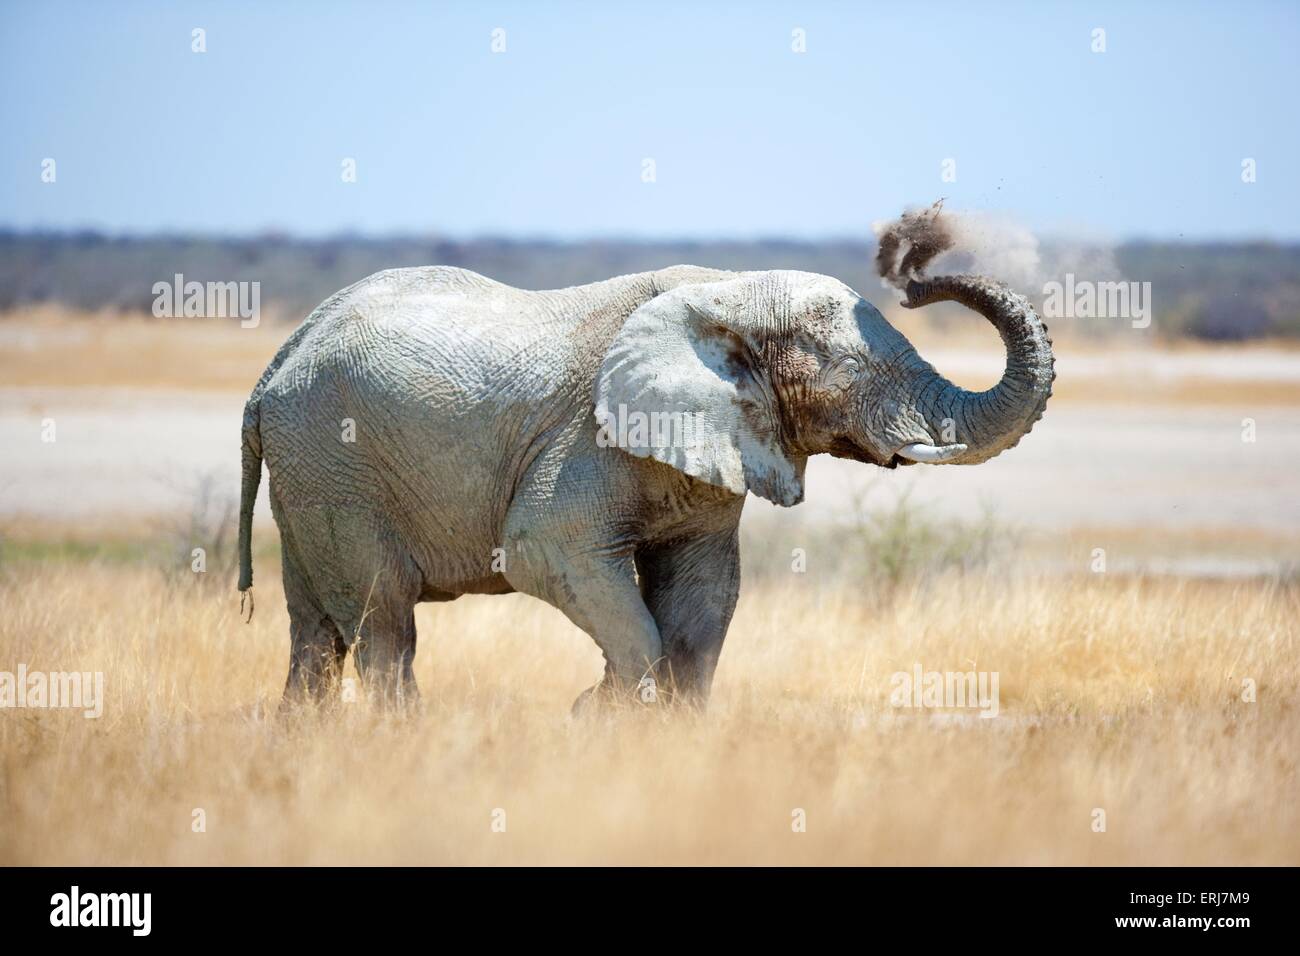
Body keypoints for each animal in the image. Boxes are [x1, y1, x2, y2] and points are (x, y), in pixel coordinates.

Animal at [236, 231, 1054, 711]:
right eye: (851, 369)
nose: (915, 270)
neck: (732, 288)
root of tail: (273, 366)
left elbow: (702, 602)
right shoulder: (587, 436)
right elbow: (547, 554)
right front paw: (598, 715)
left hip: (308, 471)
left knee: (315, 635)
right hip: (334, 462)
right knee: (383, 626)